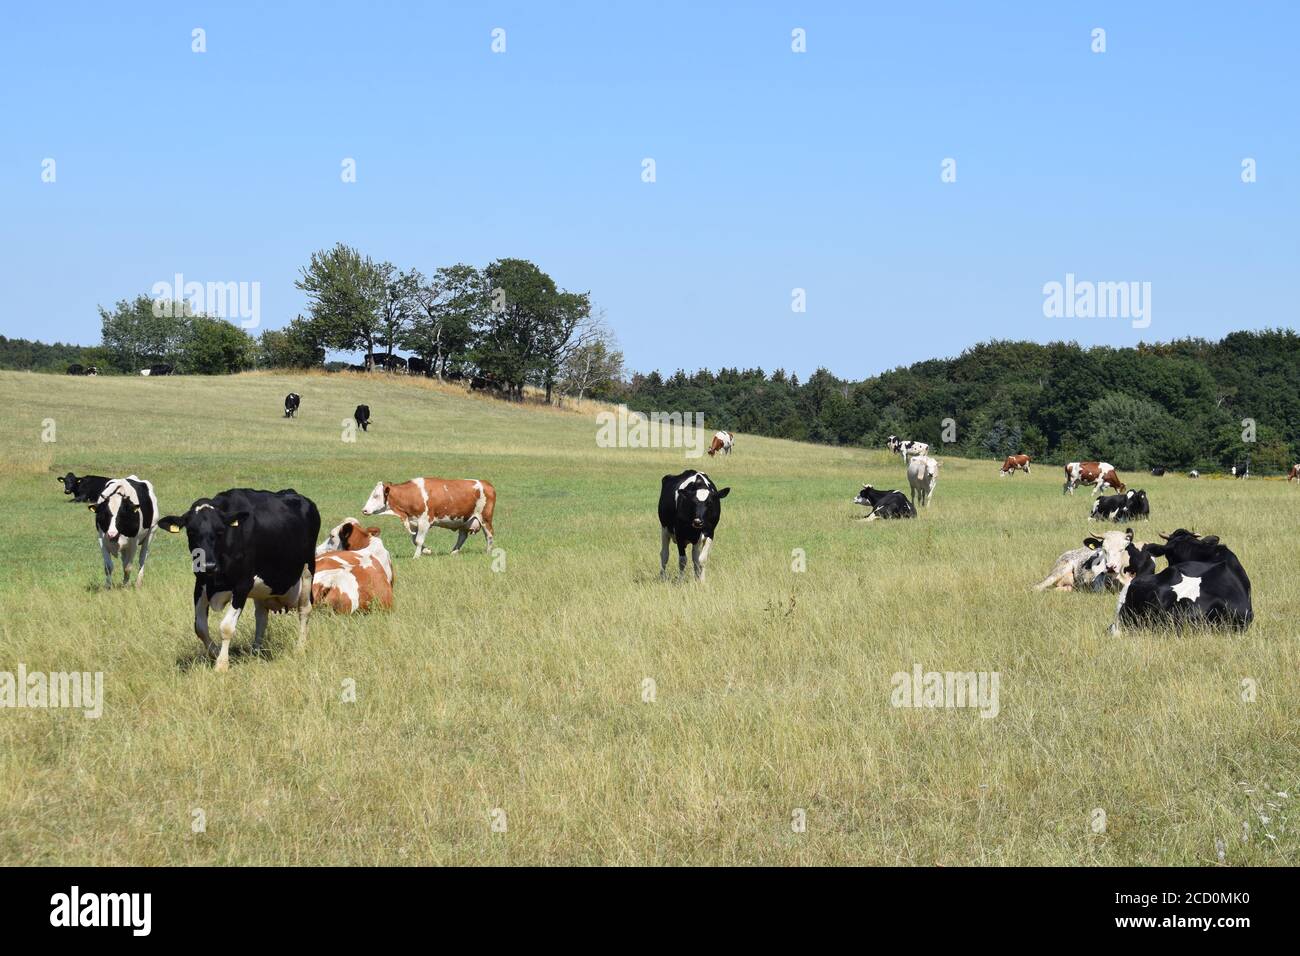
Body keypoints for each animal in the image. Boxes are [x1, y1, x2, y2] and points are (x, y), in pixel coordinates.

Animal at [159, 488, 320, 672]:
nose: (208, 565)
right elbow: (200, 627)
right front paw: (215, 653)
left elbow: (226, 627)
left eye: (220, 531)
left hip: (307, 570)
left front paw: (221, 665)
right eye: (191, 532)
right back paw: (256, 651)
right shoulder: (200, 584)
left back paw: (300, 649)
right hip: (262, 588)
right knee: (261, 616)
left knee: (304, 610)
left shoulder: (242, 585)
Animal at [360, 477, 496, 557]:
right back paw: (453, 552)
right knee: (462, 536)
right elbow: (414, 540)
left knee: (489, 535)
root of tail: (486, 484)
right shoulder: (414, 522)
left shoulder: (424, 522)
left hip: (485, 518)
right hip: (464, 520)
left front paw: (416, 556)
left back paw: (488, 553)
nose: (364, 510)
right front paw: (427, 551)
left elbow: (419, 540)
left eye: (376, 496)